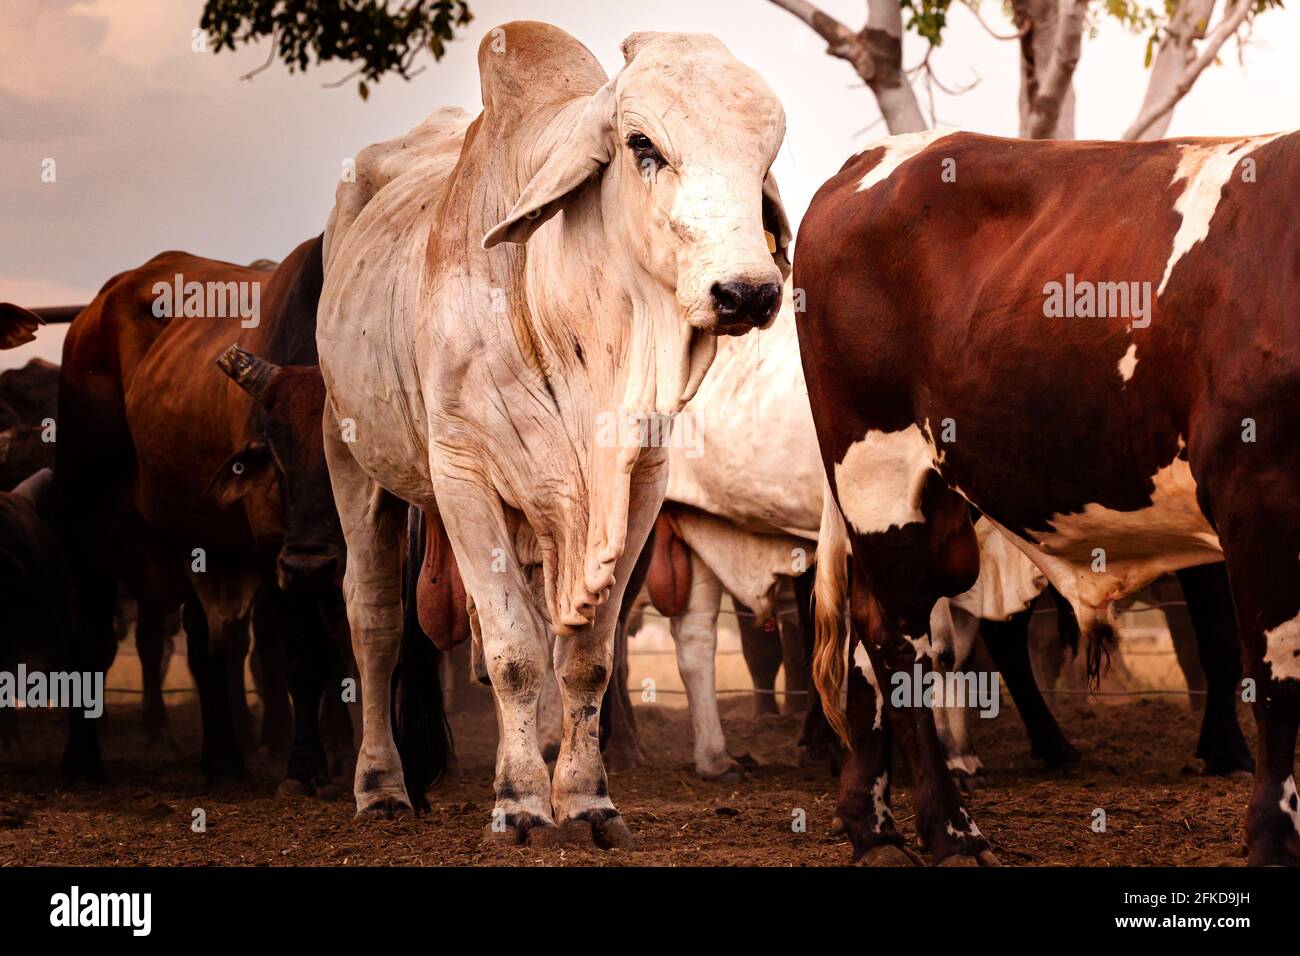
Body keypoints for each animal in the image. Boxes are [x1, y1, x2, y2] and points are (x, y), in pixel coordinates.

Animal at [55, 236, 350, 794]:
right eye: (273, 455)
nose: (310, 565)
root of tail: (96, 308)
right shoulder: (272, 546)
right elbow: (305, 657)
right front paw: (303, 768)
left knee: (204, 646)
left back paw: (224, 760)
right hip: (89, 515)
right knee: (89, 634)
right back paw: (82, 765)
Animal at [316, 21, 790, 847]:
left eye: (764, 156)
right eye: (642, 143)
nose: (748, 292)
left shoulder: (634, 488)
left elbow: (585, 657)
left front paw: (587, 798)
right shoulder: (463, 475)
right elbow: (512, 653)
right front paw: (518, 803)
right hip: (351, 456)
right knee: (373, 616)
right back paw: (380, 785)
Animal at [797, 128, 1298, 866]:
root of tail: (875, 157)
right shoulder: (1258, 497)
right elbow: (1276, 673)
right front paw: (1273, 837)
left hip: (931, 503)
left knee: (868, 638)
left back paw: (875, 830)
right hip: (876, 473)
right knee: (898, 645)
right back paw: (951, 833)